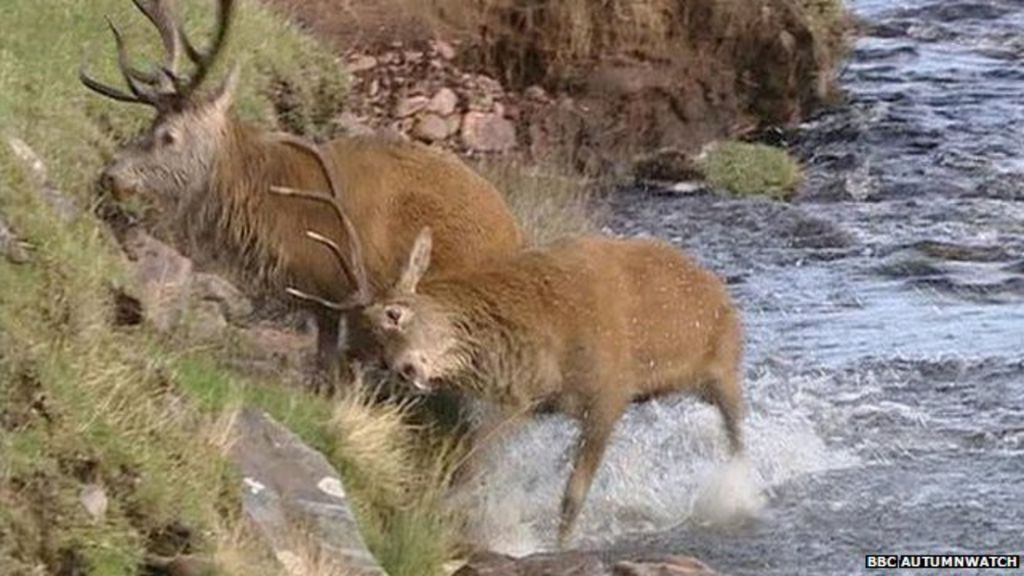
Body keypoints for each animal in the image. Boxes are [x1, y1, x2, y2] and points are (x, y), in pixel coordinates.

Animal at [80, 0, 522, 393]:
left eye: (168, 135)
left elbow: (336, 374)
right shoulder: (325, 301)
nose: (110, 174)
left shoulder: (353, 295)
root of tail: (514, 231)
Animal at [286, 205, 746, 546]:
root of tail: (717, 289)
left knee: (737, 436)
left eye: (395, 315)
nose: (404, 370)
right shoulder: (525, 400)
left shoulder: (608, 390)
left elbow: (572, 496)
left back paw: (742, 490)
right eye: (375, 349)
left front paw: (555, 546)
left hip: (724, 365)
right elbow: (473, 463)